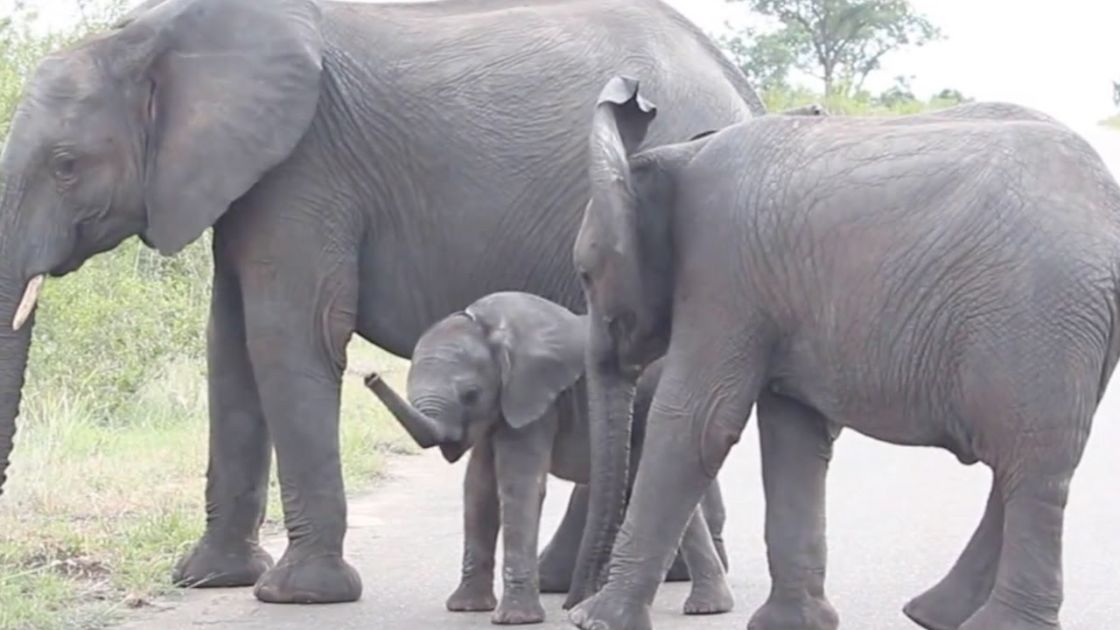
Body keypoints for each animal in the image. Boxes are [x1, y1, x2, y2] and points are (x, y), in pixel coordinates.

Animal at [363, 291, 731, 624]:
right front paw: (466, 608)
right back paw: (710, 607)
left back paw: (704, 607)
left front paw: (515, 619)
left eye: (471, 394)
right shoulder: (500, 410)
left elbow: (518, 486)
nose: (370, 376)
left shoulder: (534, 400)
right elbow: (478, 489)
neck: (490, 328)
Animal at [567, 75, 1120, 630]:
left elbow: (696, 423)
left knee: (1033, 467)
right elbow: (793, 432)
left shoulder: (722, 276)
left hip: (1043, 312)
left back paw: (986, 623)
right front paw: (791, 625)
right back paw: (933, 614)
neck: (675, 156)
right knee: (1018, 465)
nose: (570, 604)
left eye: (585, 277)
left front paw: (597, 621)